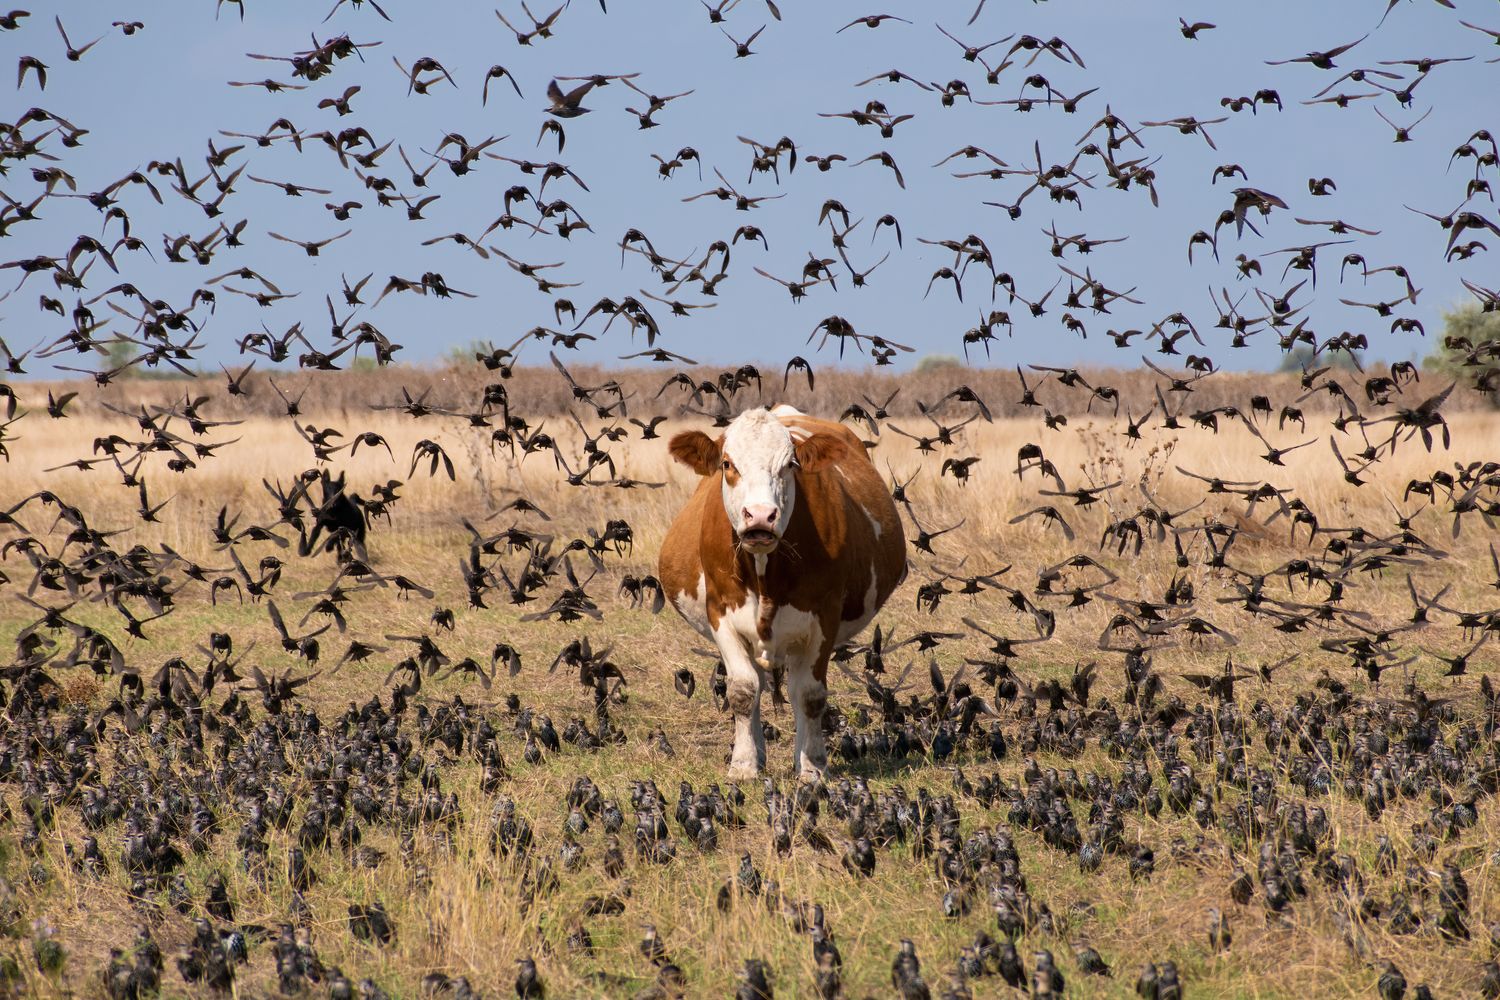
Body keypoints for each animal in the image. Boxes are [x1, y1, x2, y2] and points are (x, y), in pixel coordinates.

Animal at [659, 404, 907, 781]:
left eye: (790, 464)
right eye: (727, 463)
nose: (761, 516)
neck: (764, 575)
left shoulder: (824, 617)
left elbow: (809, 695)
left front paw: (813, 766)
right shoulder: (721, 614)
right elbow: (743, 690)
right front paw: (744, 766)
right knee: (758, 682)